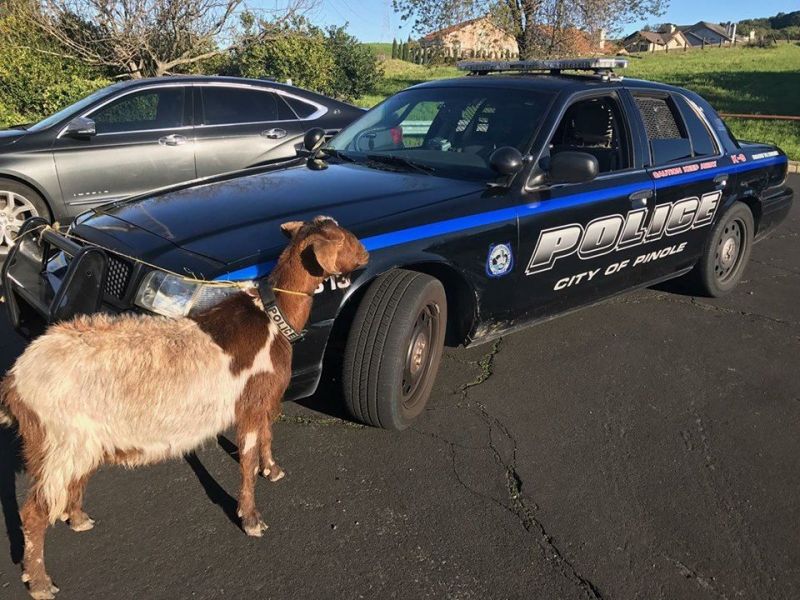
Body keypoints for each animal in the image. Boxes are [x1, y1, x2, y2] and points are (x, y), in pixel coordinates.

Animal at [0, 216, 369, 599]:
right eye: (343, 239)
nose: (367, 255)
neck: (272, 314)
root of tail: (15, 379)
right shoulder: (250, 403)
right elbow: (247, 457)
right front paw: (251, 519)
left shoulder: (264, 397)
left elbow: (267, 435)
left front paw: (272, 469)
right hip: (58, 438)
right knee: (34, 512)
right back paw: (40, 582)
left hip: (77, 440)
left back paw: (77, 519)